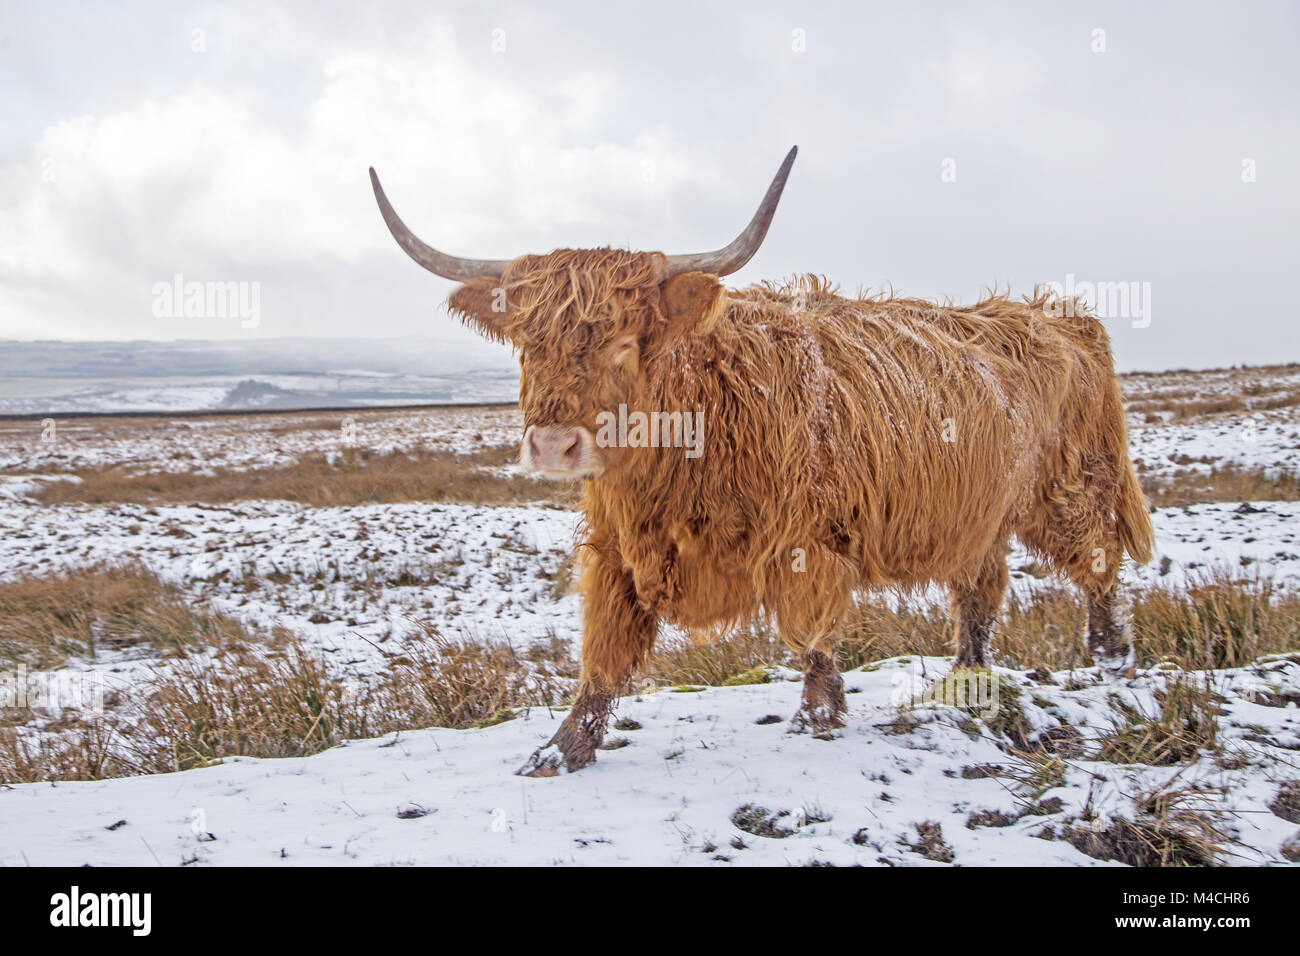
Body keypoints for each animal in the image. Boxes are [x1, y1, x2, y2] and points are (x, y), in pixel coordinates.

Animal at [369, 147, 1154, 776]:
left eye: (623, 342)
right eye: (527, 345)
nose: (554, 445)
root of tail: (1052, 315)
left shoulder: (808, 539)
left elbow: (811, 632)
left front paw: (817, 715)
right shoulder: (619, 550)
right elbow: (604, 653)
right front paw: (563, 747)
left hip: (1071, 486)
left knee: (1098, 562)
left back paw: (1110, 654)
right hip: (979, 512)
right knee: (980, 592)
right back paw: (966, 678)